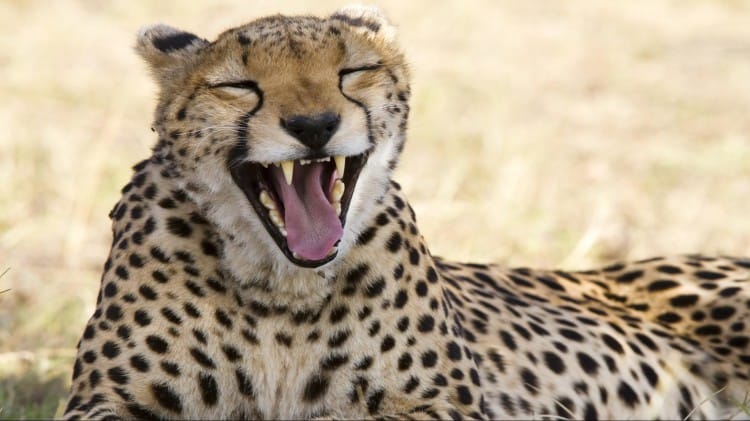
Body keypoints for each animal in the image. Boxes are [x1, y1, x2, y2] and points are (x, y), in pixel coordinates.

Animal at [63, 6, 750, 420]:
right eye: (238, 86)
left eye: (354, 71)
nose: (313, 125)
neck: (283, 292)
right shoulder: (106, 404)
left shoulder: (441, 406)